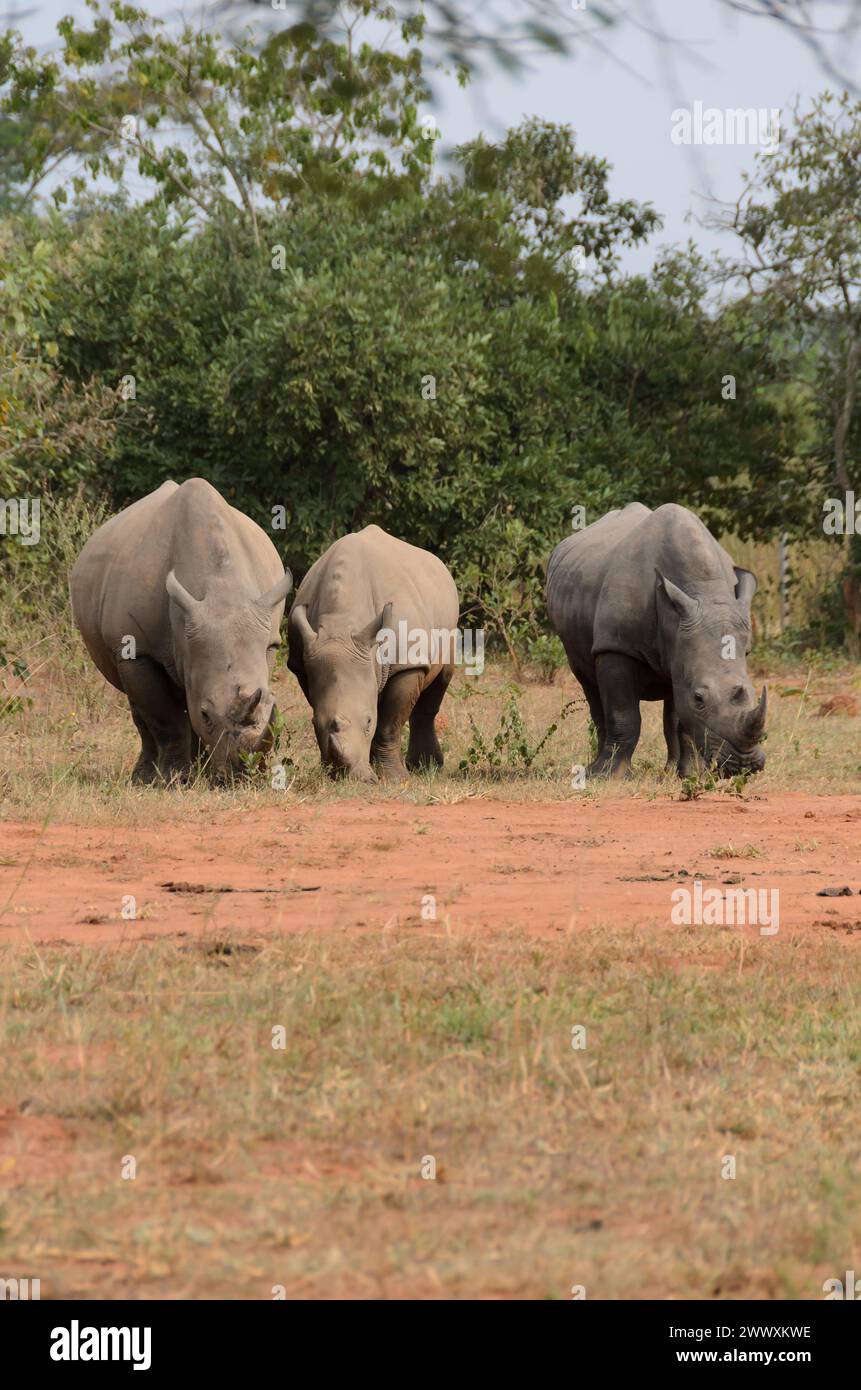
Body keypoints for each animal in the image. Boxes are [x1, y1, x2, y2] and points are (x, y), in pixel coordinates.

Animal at [70, 479, 292, 782]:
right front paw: (175, 779)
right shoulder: (136, 651)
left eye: (271, 705)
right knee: (143, 712)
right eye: (206, 715)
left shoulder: (267, 643)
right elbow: (165, 718)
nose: (243, 772)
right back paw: (149, 778)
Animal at [287, 525, 459, 781]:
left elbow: (389, 724)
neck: (341, 627)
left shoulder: (406, 662)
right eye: (314, 724)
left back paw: (426, 769)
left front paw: (395, 779)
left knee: (439, 680)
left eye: (368, 722)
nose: (348, 779)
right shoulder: (304, 662)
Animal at [546, 502, 767, 779]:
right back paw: (594, 768)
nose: (744, 765)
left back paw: (669, 770)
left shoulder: (682, 647)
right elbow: (624, 714)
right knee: (590, 687)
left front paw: (690, 775)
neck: (702, 590)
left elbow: (681, 719)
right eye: (699, 699)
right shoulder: (616, 646)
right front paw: (609, 777)